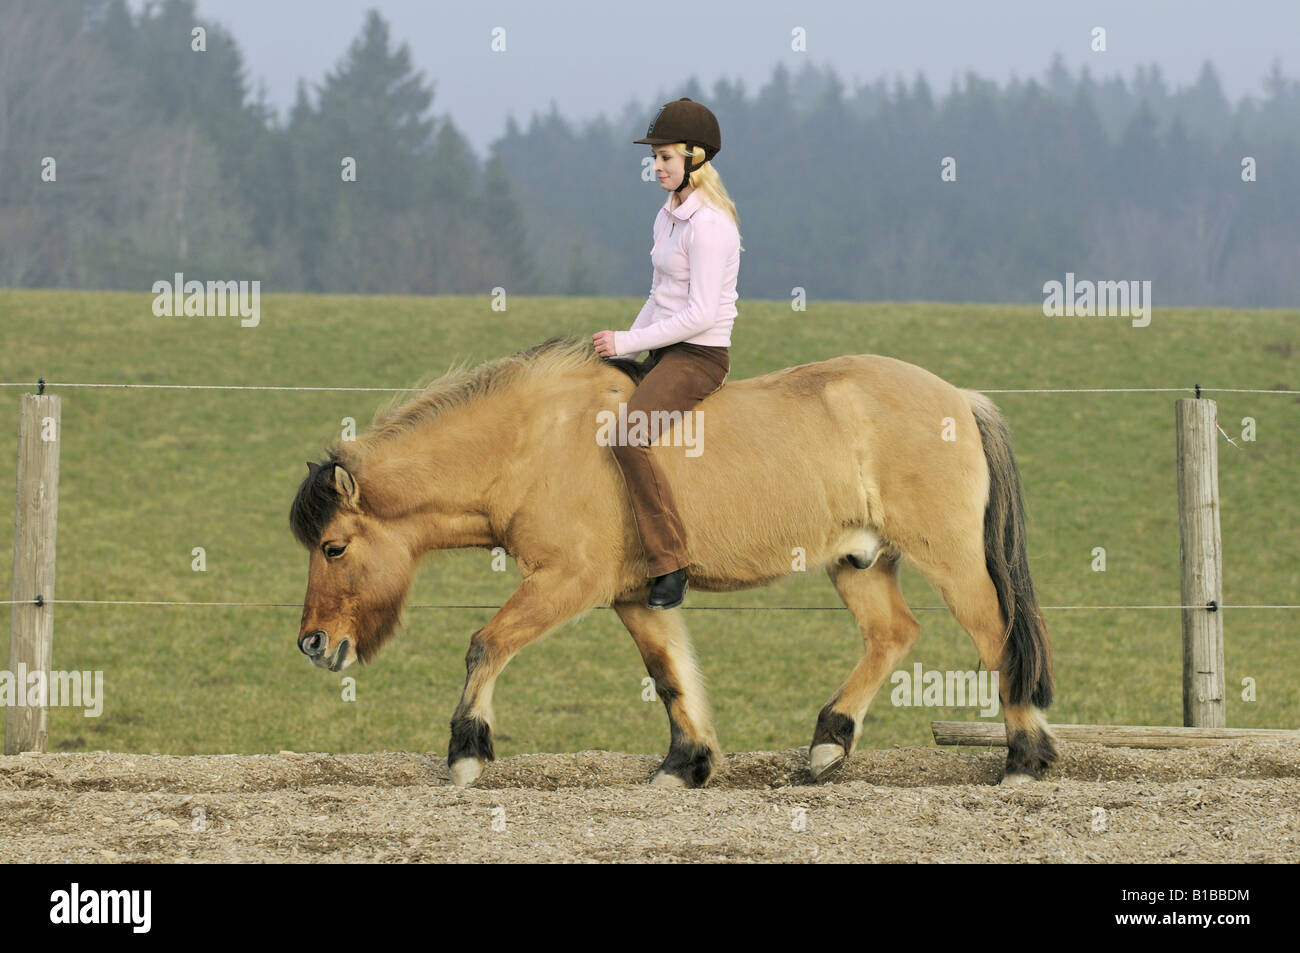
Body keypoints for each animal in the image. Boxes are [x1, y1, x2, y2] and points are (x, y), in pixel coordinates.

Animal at [290, 337, 1057, 788]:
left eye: (334, 547)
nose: (313, 644)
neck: (533, 442)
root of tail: (960, 399)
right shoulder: (634, 596)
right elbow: (669, 675)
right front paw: (687, 763)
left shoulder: (567, 582)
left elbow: (486, 644)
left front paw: (468, 751)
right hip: (857, 560)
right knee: (892, 634)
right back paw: (829, 743)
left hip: (951, 558)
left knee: (998, 639)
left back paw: (1024, 759)